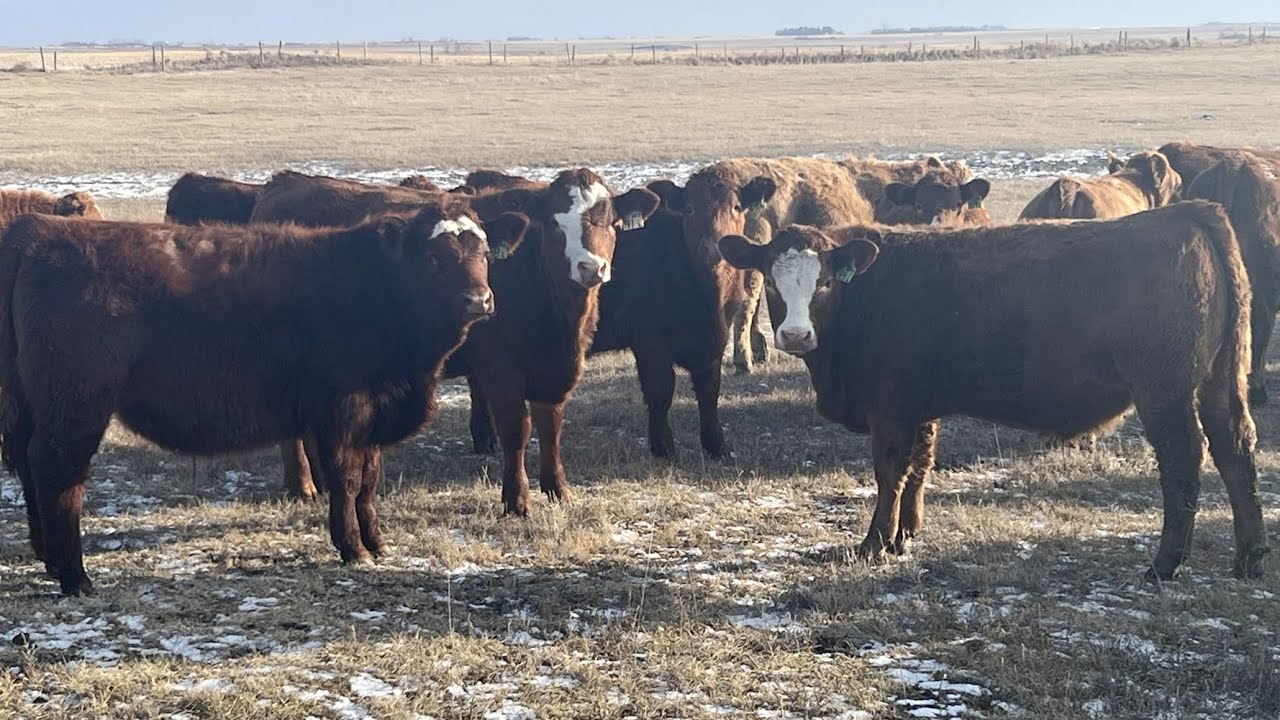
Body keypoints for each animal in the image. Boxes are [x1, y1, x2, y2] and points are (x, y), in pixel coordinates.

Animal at [0, 203, 527, 596]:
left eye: (484, 250)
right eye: (433, 258)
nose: (479, 300)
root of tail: (41, 230)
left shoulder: (373, 416)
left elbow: (370, 480)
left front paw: (377, 542)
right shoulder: (342, 409)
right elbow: (347, 478)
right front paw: (353, 548)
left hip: (31, 404)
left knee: (28, 463)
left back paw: (49, 559)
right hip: (77, 405)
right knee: (59, 472)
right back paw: (75, 577)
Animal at [718, 201, 1269, 581]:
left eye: (827, 281)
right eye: (770, 278)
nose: (795, 335)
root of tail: (1184, 213)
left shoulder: (890, 408)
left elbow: (890, 472)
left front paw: (874, 543)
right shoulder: (920, 406)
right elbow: (920, 466)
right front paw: (905, 535)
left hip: (1165, 391)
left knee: (1185, 459)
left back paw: (1165, 564)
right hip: (1219, 381)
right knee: (1235, 448)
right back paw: (1249, 558)